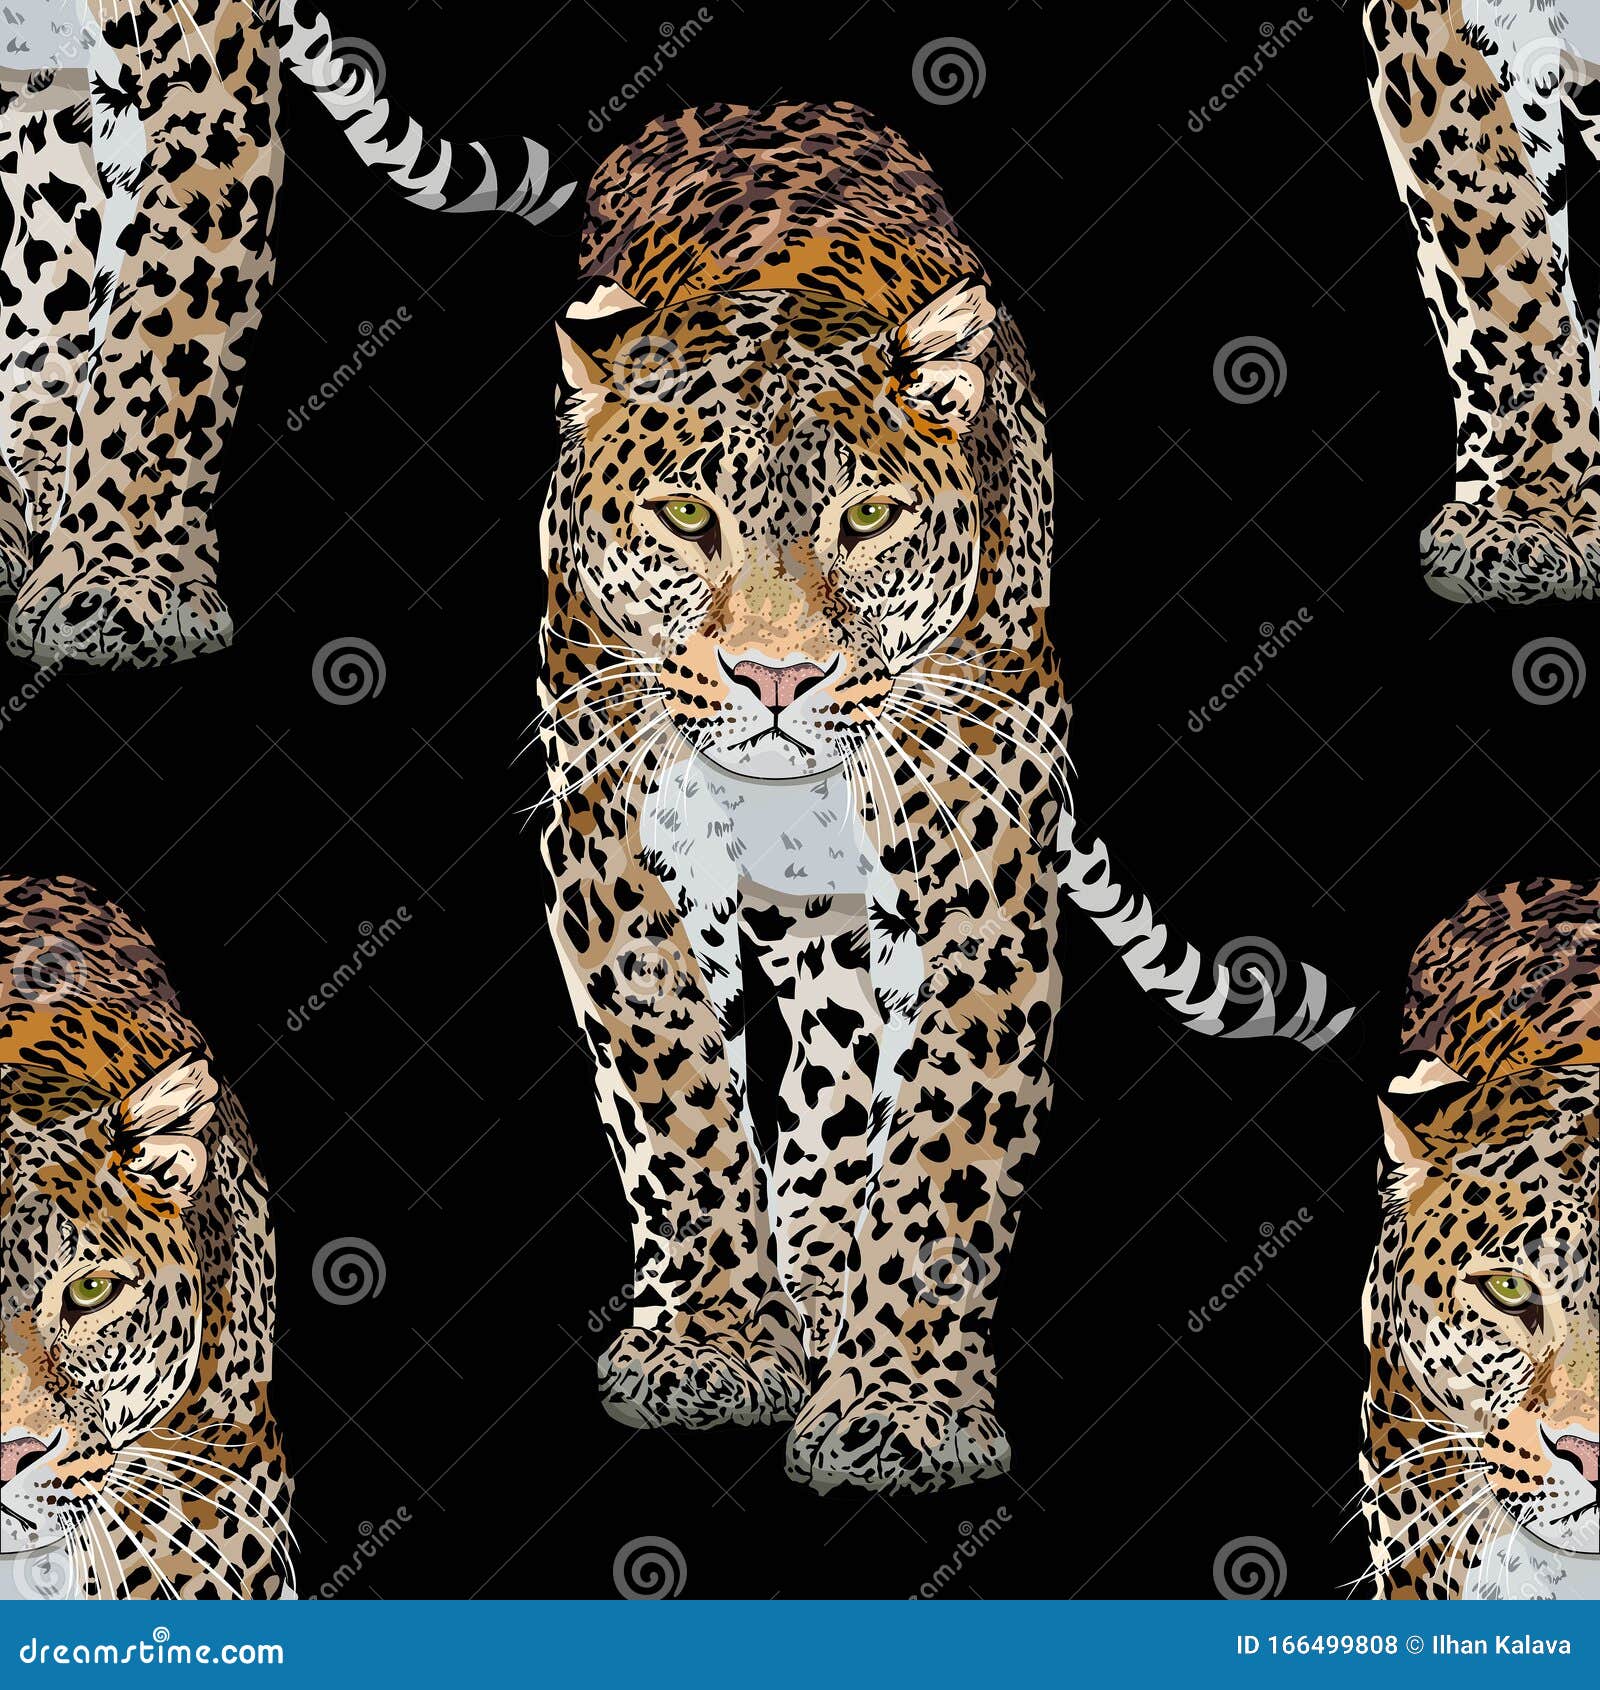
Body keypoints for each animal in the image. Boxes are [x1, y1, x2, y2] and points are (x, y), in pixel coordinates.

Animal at [536, 100, 1351, 1497]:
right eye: (685, 515)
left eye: (867, 517)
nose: (776, 677)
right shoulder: (609, 854)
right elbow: (677, 1095)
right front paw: (712, 1340)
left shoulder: (978, 878)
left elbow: (940, 1148)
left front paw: (899, 1405)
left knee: (838, 1056)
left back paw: (822, 1278)